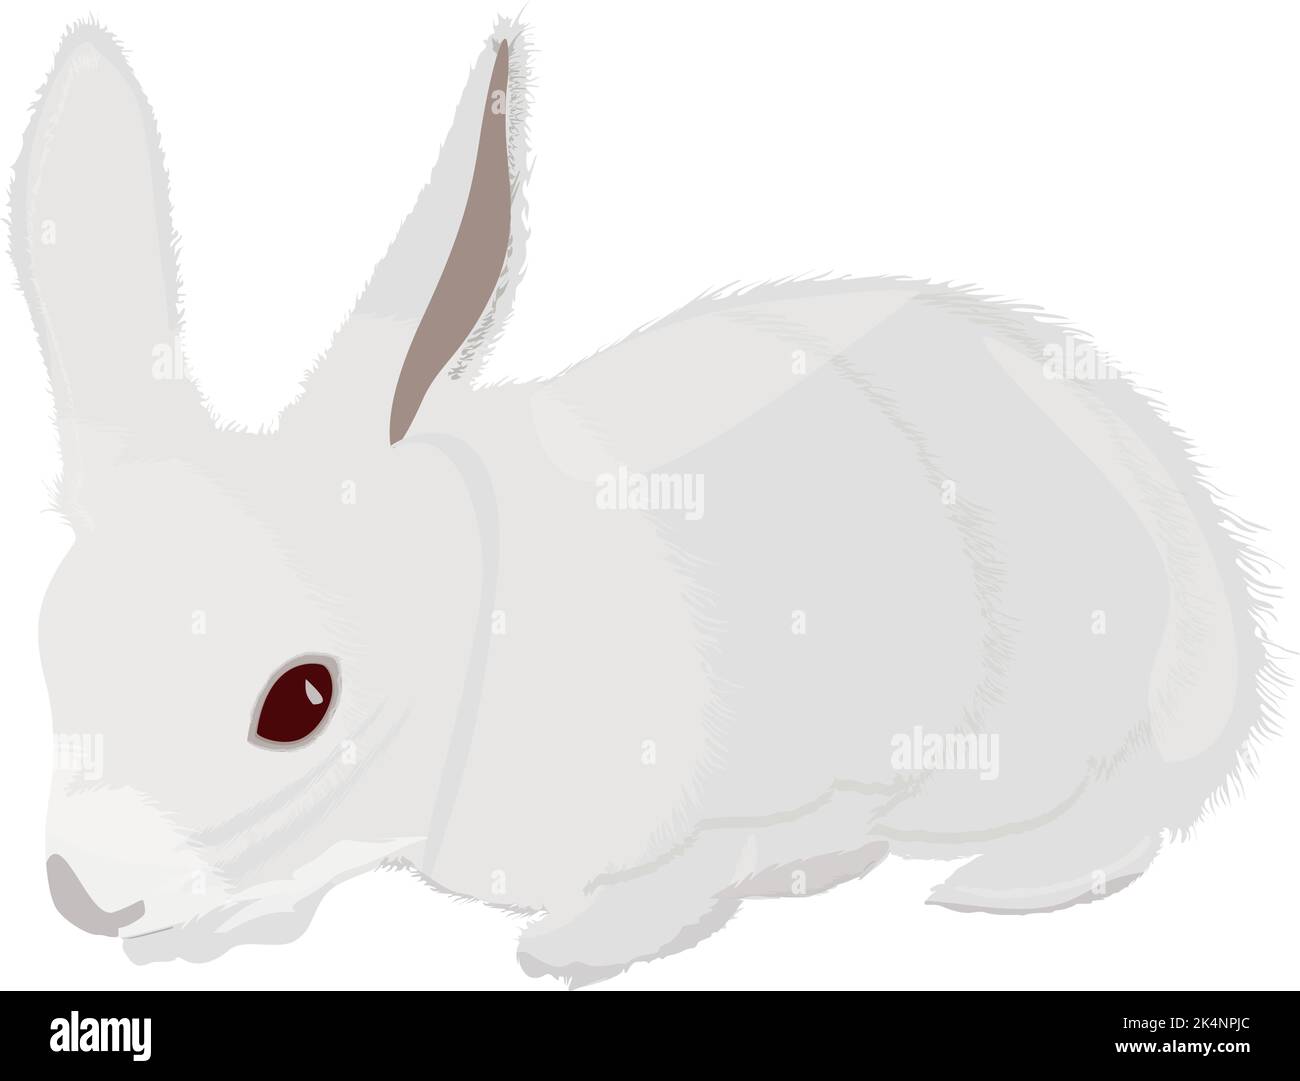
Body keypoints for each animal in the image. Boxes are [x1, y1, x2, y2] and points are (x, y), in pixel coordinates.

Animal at [13, 16, 1282, 988]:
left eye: (301, 701)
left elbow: (705, 865)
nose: (84, 897)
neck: (477, 636)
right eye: (52, 646)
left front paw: (578, 947)